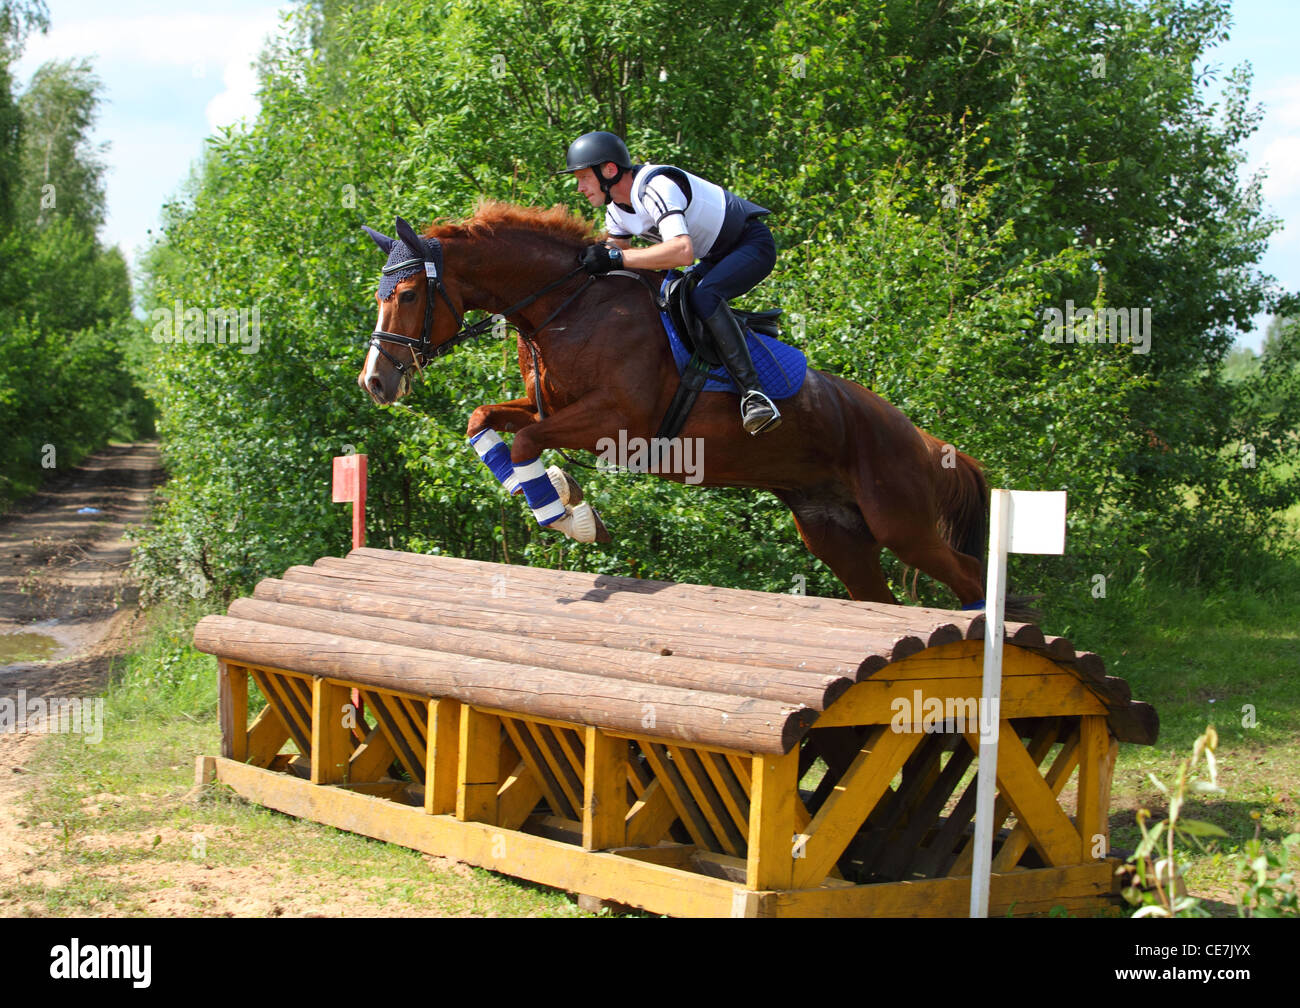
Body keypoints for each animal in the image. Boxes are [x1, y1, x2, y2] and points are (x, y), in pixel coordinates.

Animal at [357, 201, 990, 609]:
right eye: (382, 294)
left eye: (407, 295)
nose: (374, 382)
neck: (570, 305)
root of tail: (927, 441)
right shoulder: (550, 408)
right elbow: (486, 422)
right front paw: (555, 493)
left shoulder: (616, 422)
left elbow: (525, 442)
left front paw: (570, 517)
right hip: (834, 533)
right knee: (882, 595)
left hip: (900, 520)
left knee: (969, 577)